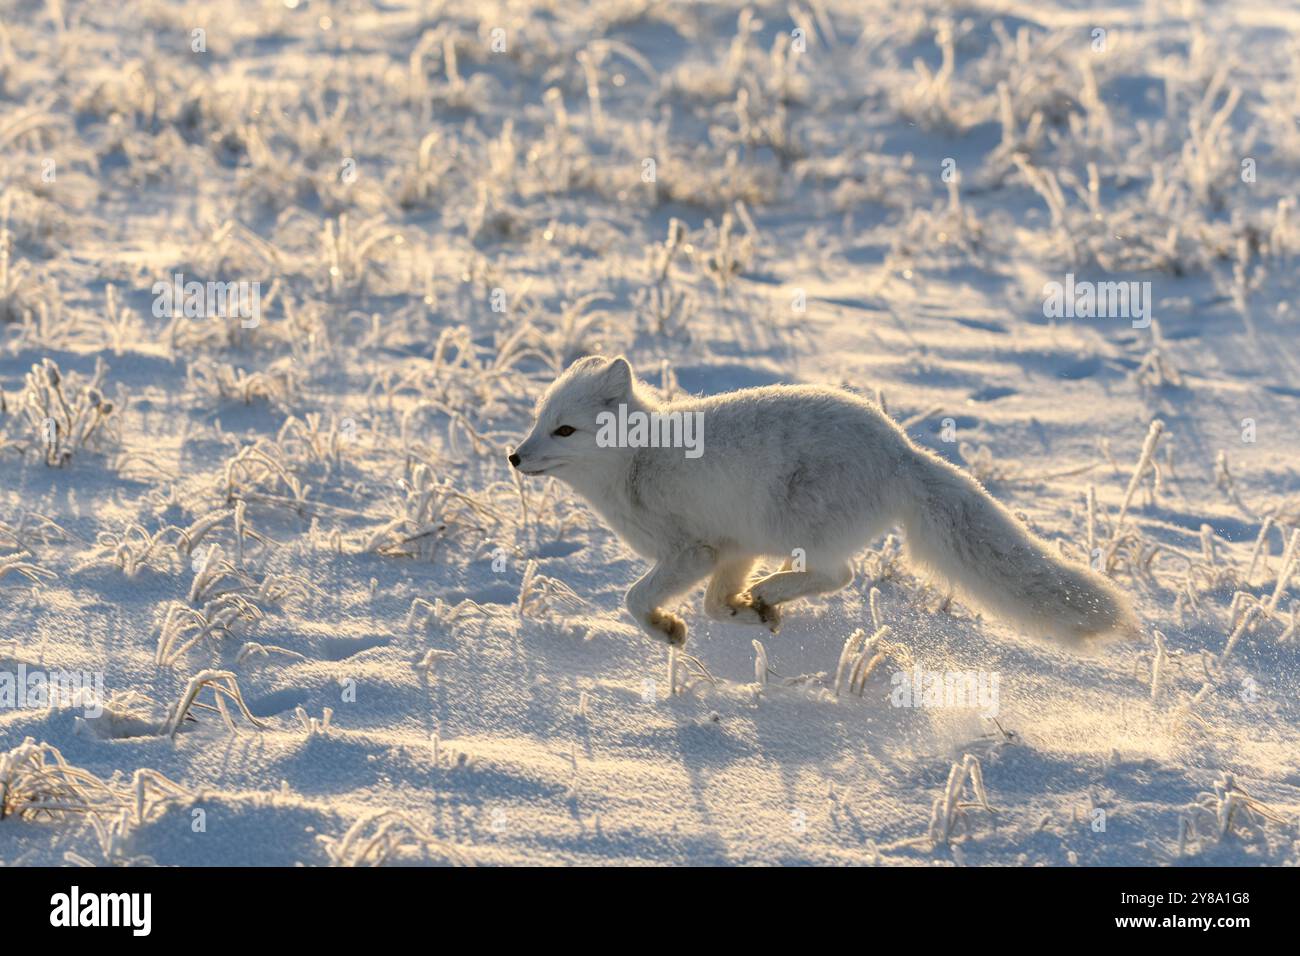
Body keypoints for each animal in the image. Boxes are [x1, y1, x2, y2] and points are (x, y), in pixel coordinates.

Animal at [509, 355, 1139, 652]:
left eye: (564, 430)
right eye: (539, 420)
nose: (514, 457)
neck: (638, 459)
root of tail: (901, 451)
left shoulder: (693, 551)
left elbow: (633, 598)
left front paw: (668, 630)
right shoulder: (732, 549)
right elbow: (713, 605)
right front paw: (744, 615)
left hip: (798, 527)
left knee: (842, 574)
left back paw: (772, 591)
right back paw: (765, 600)